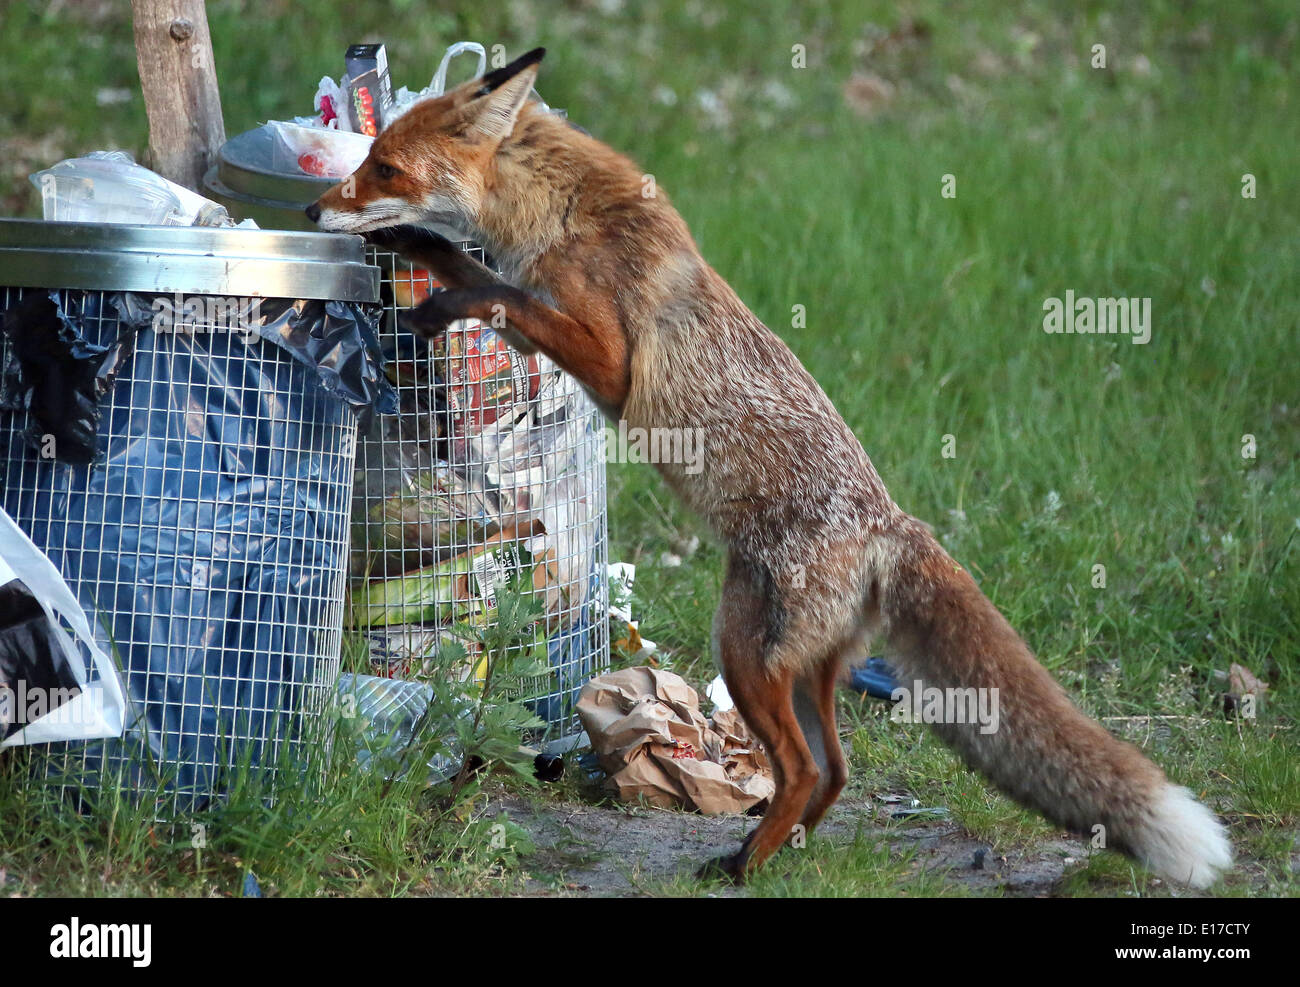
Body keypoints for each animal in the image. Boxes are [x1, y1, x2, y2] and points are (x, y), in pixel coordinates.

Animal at [308, 48, 1233, 888]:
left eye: (385, 166)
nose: (317, 206)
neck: (563, 212)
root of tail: (890, 523)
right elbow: (474, 265)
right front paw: (415, 246)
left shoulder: (612, 362)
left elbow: (498, 293)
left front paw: (439, 298)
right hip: (800, 666)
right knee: (835, 769)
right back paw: (784, 848)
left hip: (745, 657)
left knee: (803, 767)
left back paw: (748, 863)